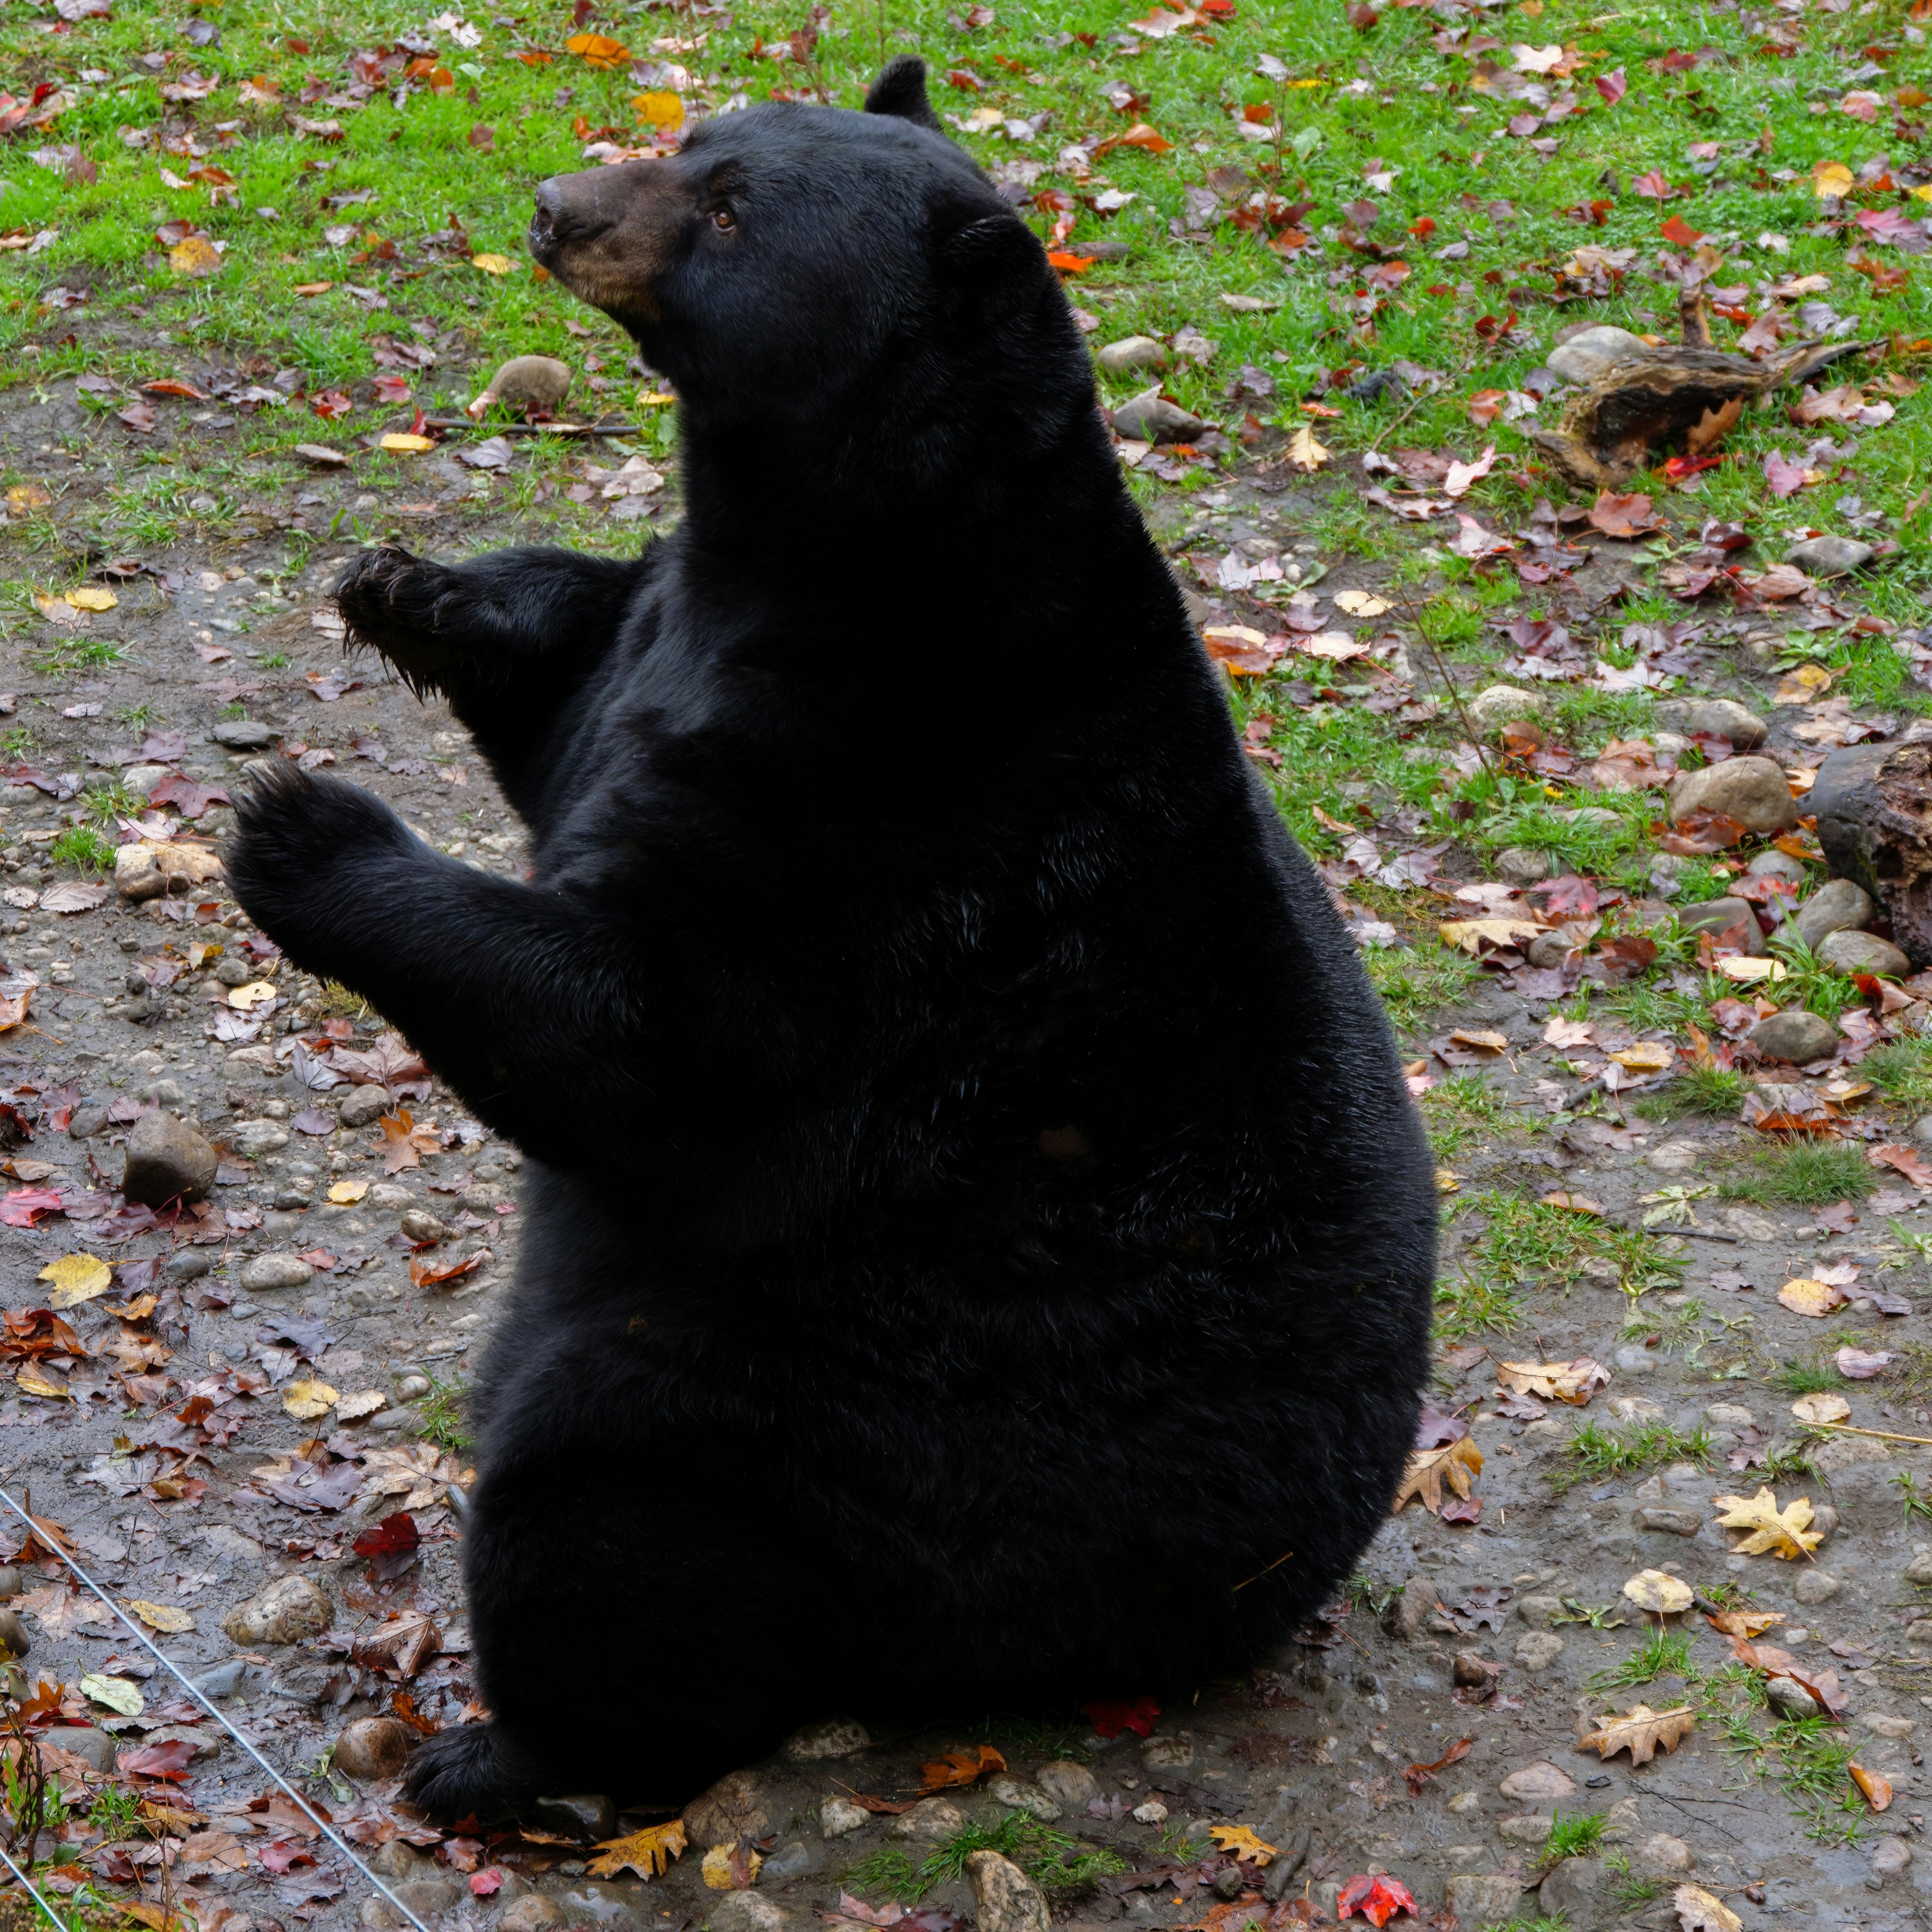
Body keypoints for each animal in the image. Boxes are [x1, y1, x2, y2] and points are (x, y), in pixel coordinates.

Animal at [226, 58, 1435, 1822]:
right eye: (694, 136)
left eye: (729, 208)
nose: (556, 206)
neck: (830, 555)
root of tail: (1213, 1610)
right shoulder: (687, 641)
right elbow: (576, 672)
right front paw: (412, 582)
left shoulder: (881, 823)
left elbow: (650, 1036)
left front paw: (306, 827)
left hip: (795, 1431)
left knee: (604, 1525)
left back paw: (499, 1747)